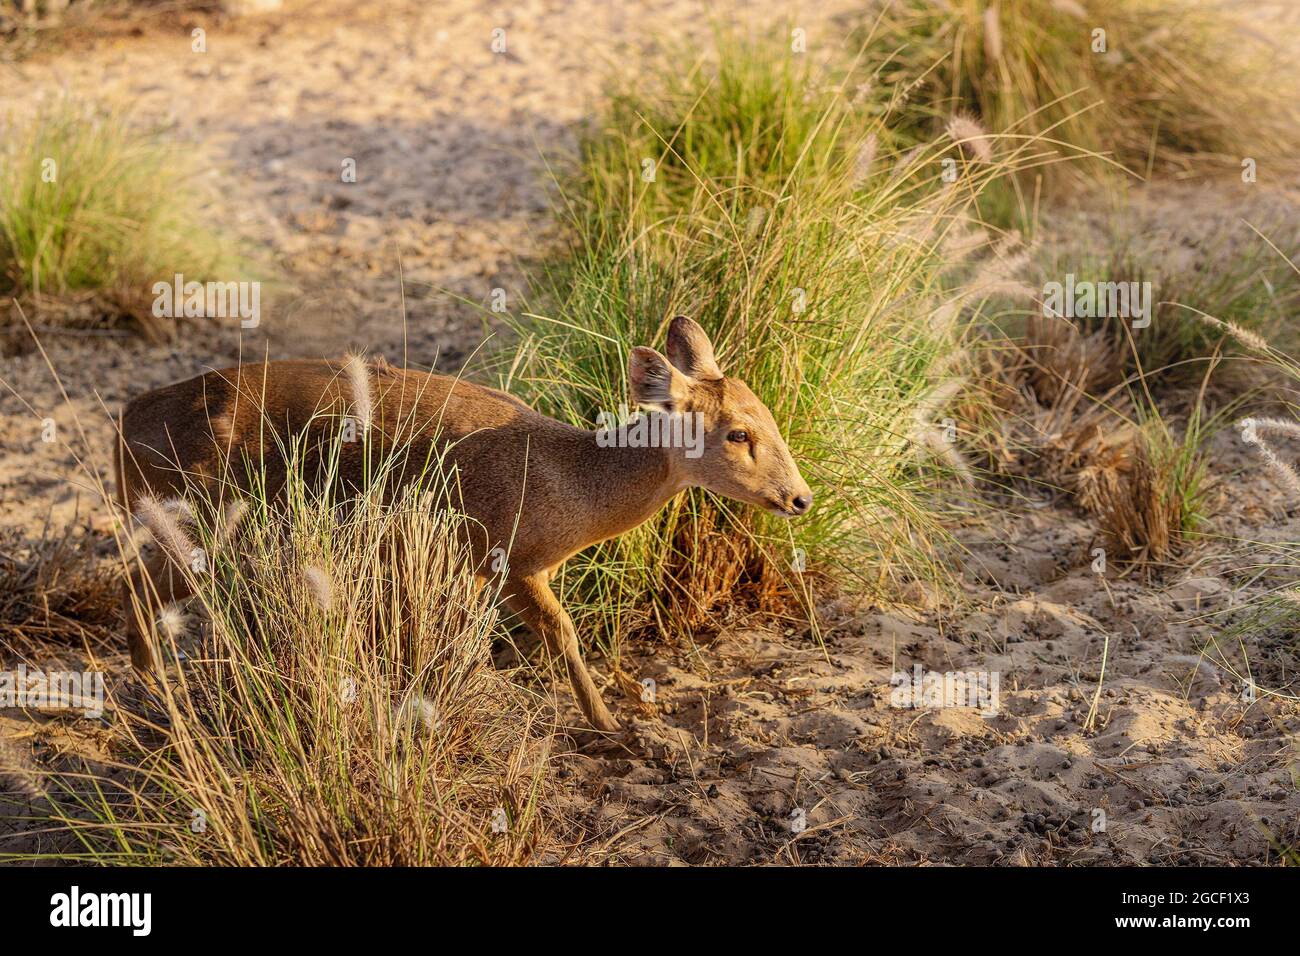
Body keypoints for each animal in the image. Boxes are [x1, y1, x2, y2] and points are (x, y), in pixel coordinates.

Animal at [114, 316, 813, 732]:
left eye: (768, 413)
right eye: (737, 433)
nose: (800, 498)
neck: (574, 482)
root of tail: (126, 424)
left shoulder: (476, 568)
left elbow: (461, 641)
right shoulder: (516, 564)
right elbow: (562, 634)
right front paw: (611, 725)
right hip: (211, 527)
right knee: (138, 586)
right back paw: (157, 698)